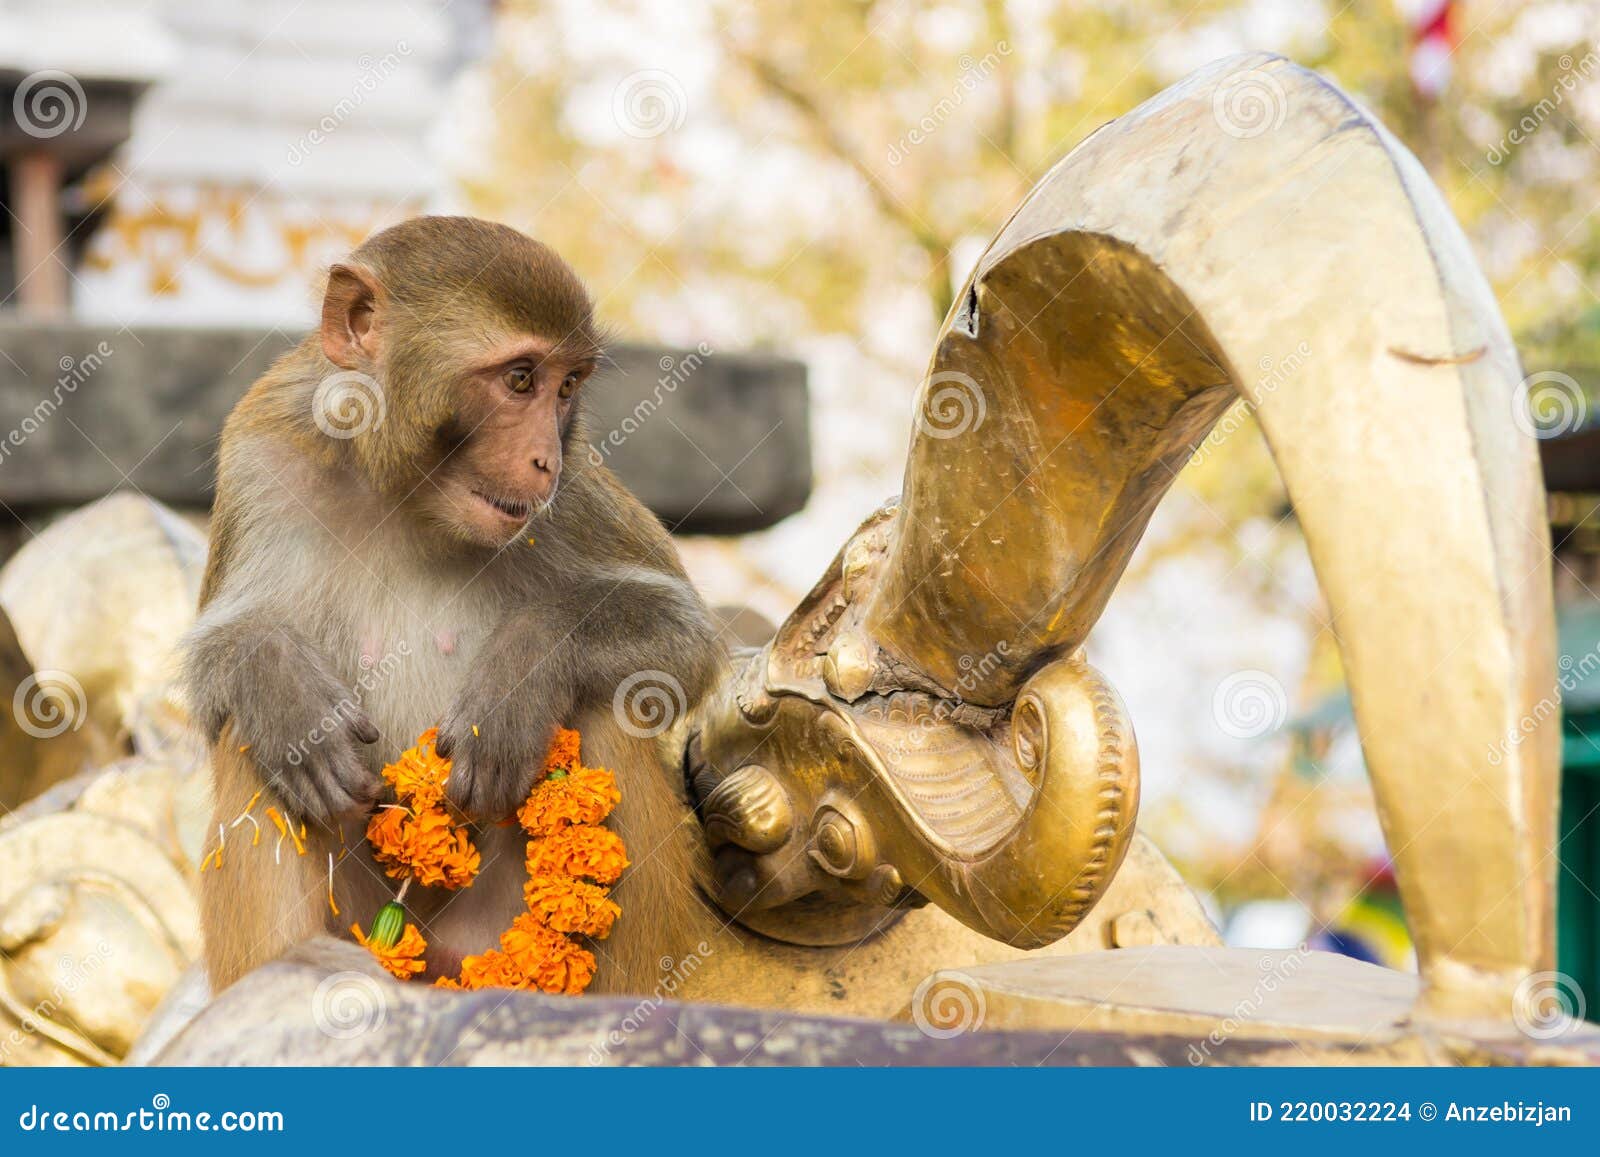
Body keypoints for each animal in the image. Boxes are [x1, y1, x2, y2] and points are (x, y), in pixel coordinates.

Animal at [182, 216, 723, 994]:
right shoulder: (261, 449)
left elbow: (685, 635)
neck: (406, 494)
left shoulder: (572, 491)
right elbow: (215, 677)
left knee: (607, 704)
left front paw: (522, 671)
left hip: (485, 933)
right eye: (520, 380)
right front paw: (281, 685)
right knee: (248, 742)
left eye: (568, 387)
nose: (544, 458)